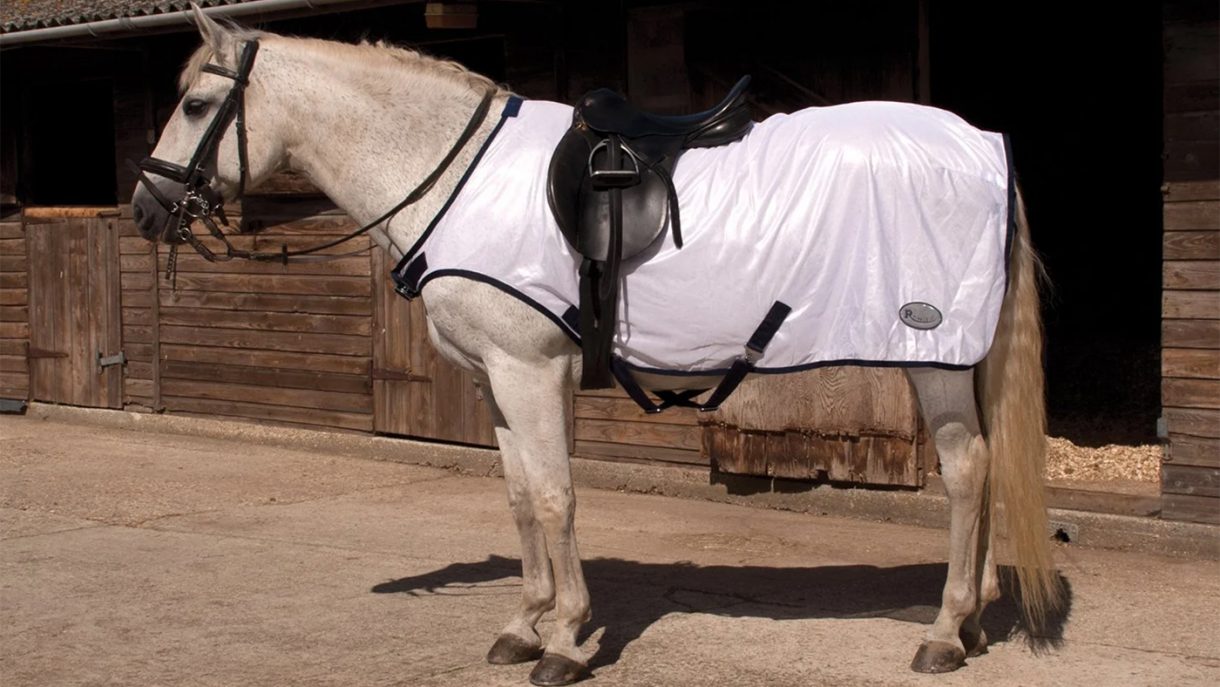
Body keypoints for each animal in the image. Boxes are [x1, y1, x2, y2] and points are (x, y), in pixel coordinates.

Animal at [131, 10, 1063, 685]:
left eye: (196, 106)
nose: (144, 208)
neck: (456, 173)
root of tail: (980, 146)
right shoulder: (497, 382)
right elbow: (518, 497)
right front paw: (524, 622)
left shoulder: (530, 370)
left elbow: (555, 498)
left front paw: (566, 640)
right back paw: (975, 616)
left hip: (935, 358)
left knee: (967, 470)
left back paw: (944, 631)